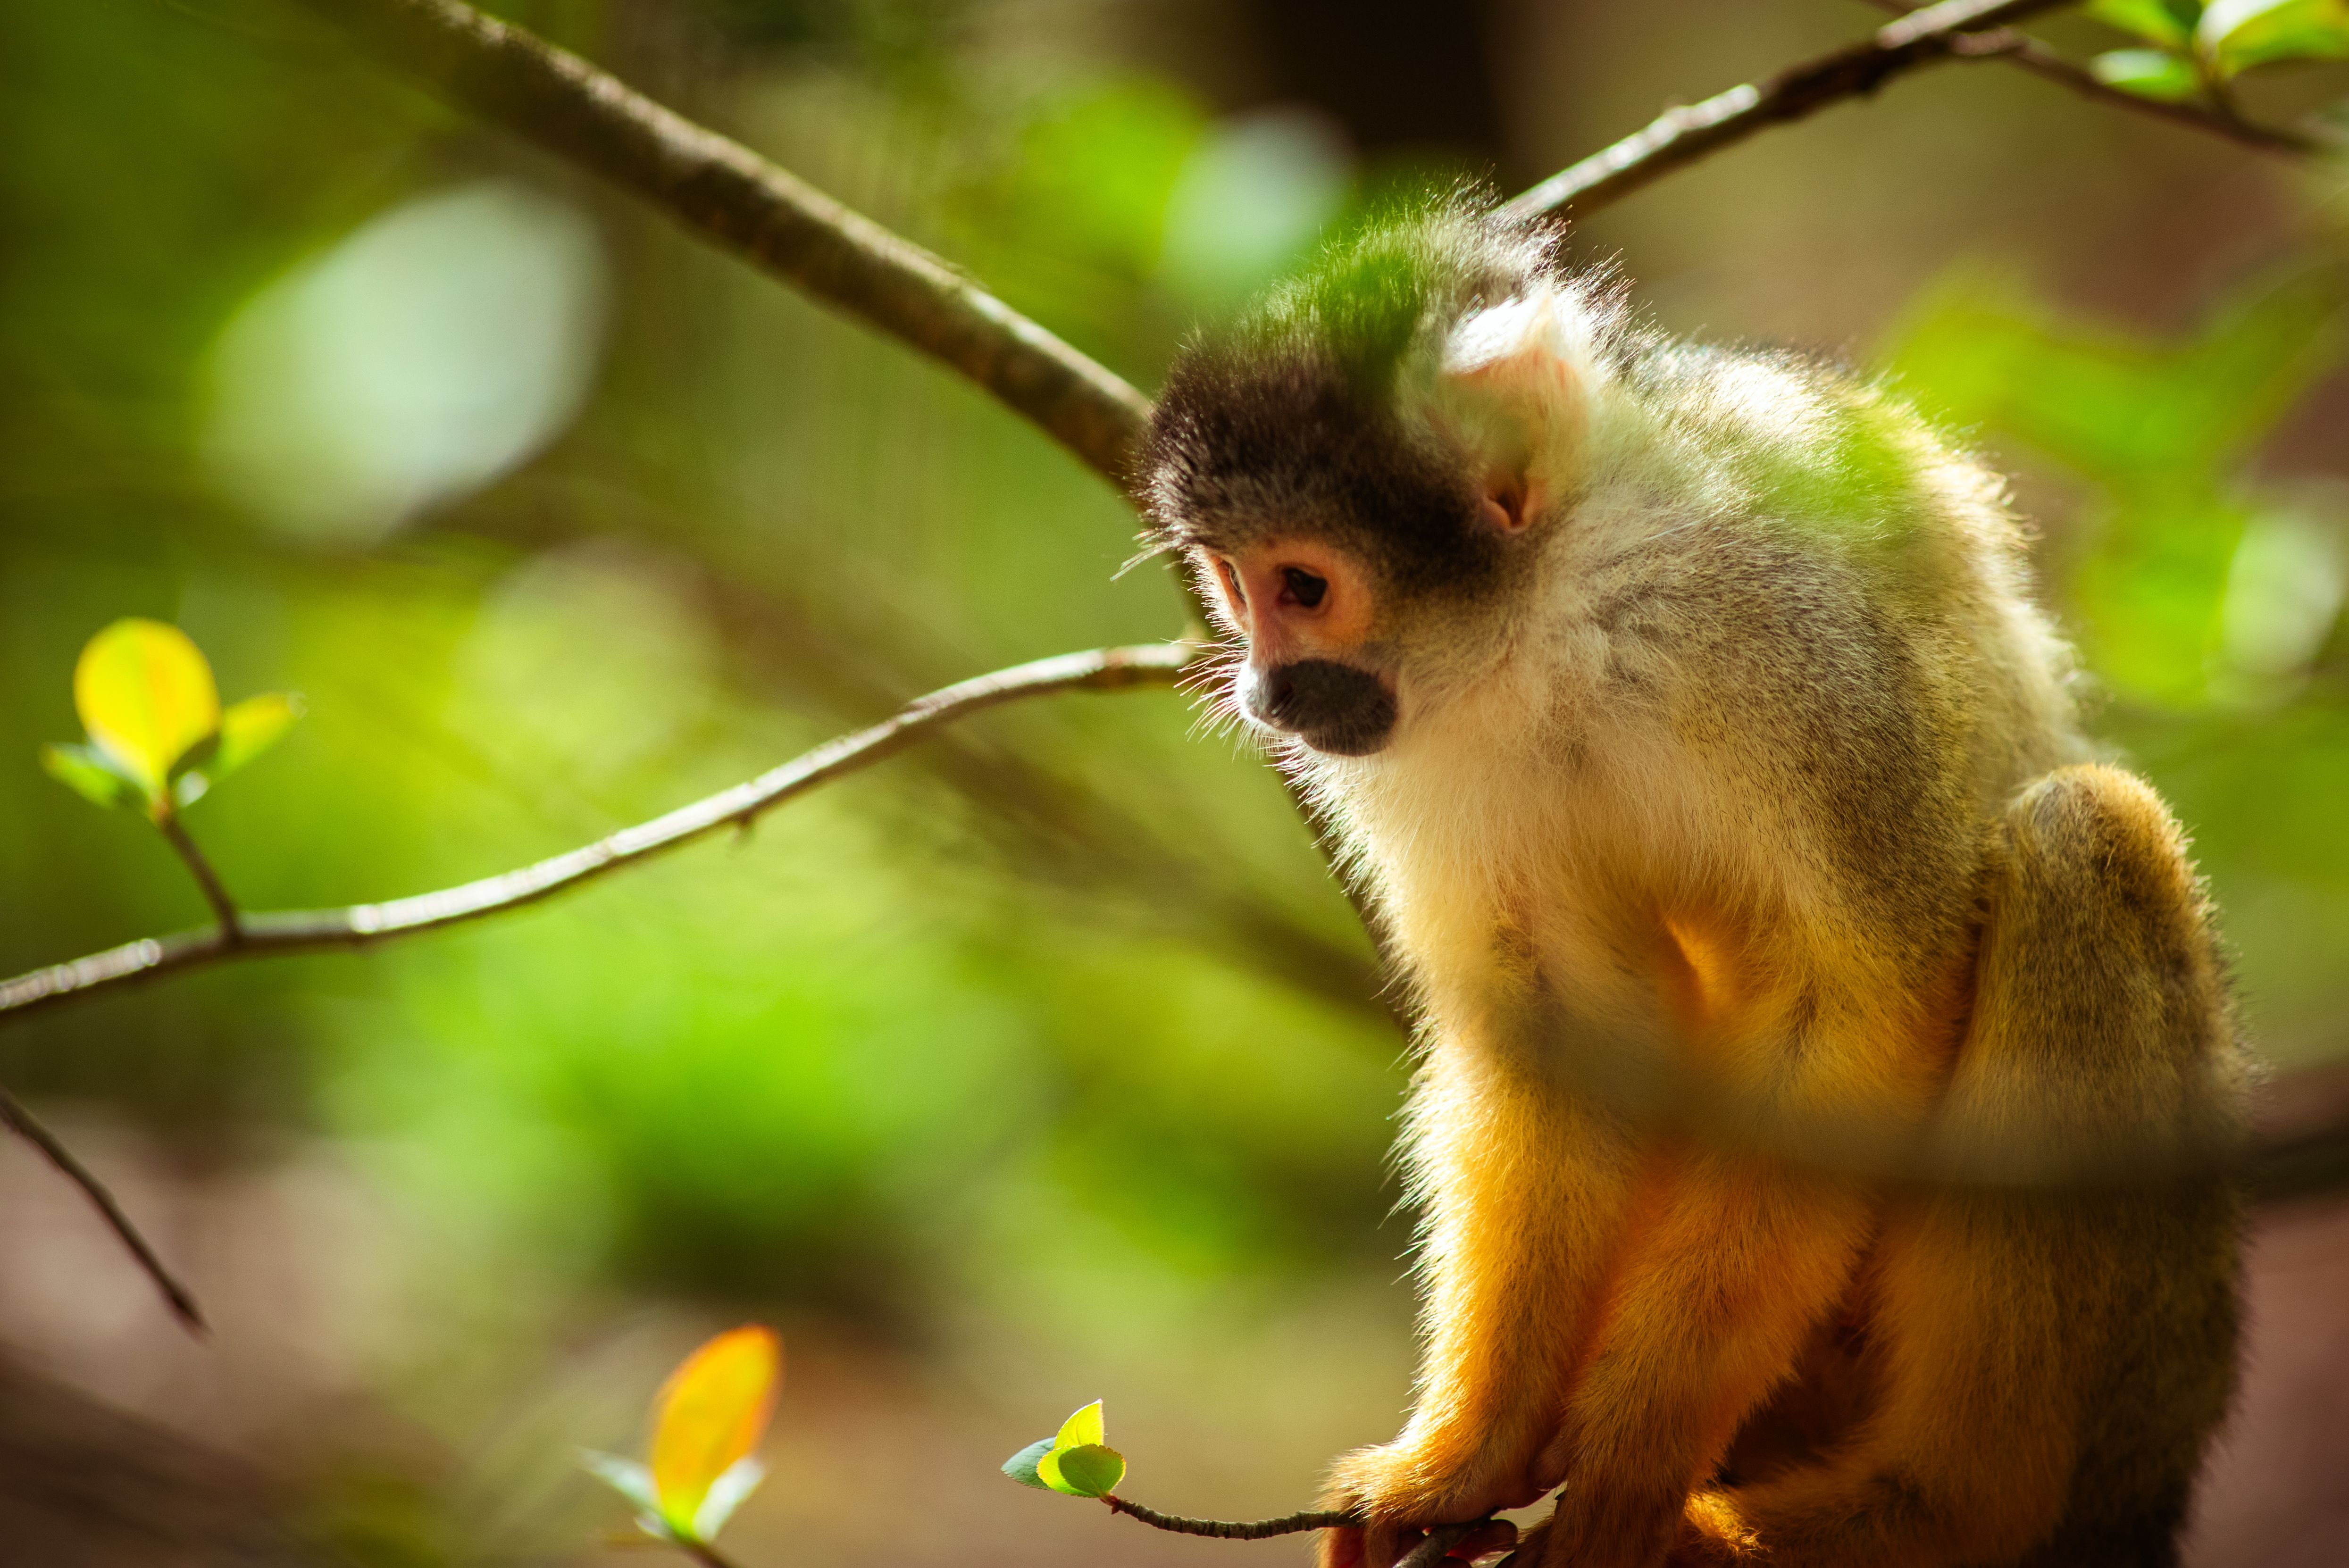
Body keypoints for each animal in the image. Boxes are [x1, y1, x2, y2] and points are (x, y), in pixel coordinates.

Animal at [1138, 195, 2251, 1568]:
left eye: (1303, 585)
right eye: (1233, 588)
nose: (1264, 690)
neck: (1558, 617)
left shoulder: (1773, 622)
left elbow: (1856, 1000)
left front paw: (1629, 1453)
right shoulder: (1425, 744)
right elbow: (1563, 1029)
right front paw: (1465, 1459)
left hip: (2158, 1359)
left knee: (2078, 832)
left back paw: (1934, 1507)